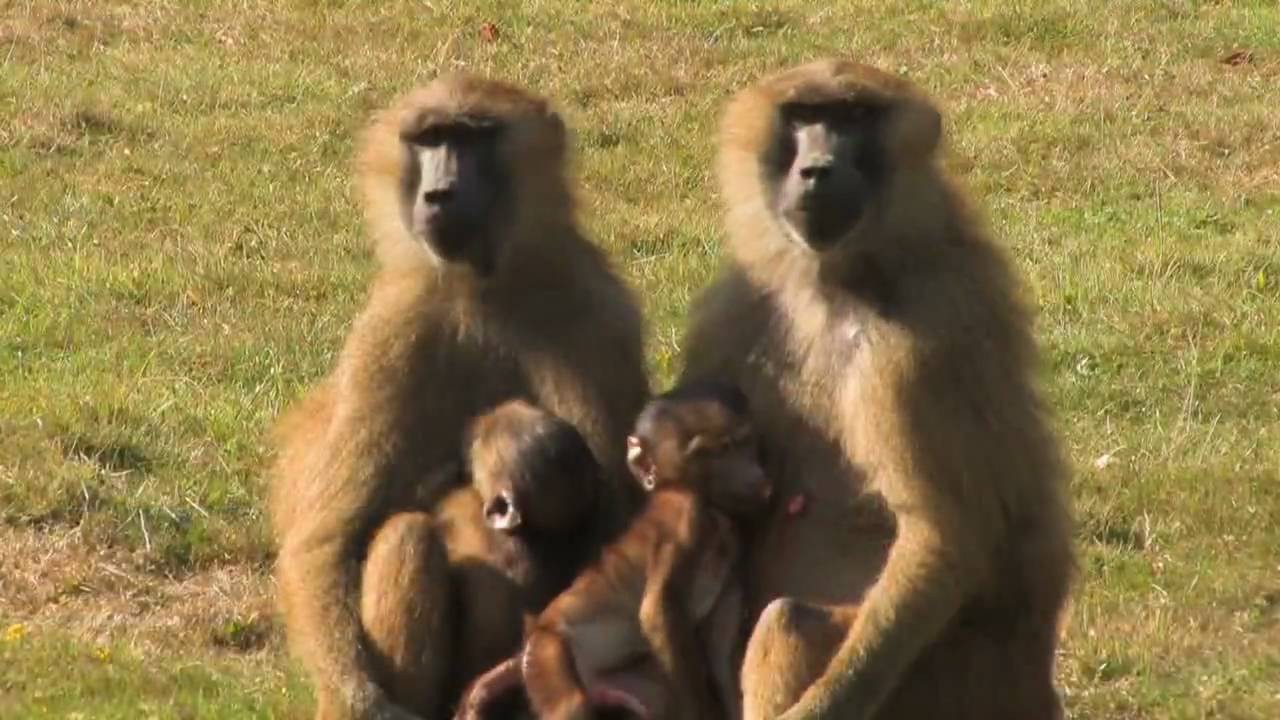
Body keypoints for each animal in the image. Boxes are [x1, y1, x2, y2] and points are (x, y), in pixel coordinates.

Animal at [267, 74, 650, 720]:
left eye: (474, 138)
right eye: (428, 138)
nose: (440, 194)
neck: (485, 286)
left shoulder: (599, 314)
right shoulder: (393, 330)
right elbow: (328, 541)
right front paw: (361, 700)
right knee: (406, 536)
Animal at [520, 380, 774, 720]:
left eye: (743, 442)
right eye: (716, 451)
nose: (755, 475)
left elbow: (720, 647)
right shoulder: (685, 516)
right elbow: (658, 611)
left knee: (659, 699)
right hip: (544, 652)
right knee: (571, 706)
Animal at [678, 60, 1075, 720]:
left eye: (855, 116)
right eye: (803, 115)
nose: (817, 169)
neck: (840, 282)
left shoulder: (922, 347)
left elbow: (941, 539)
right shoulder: (735, 306)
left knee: (790, 620)